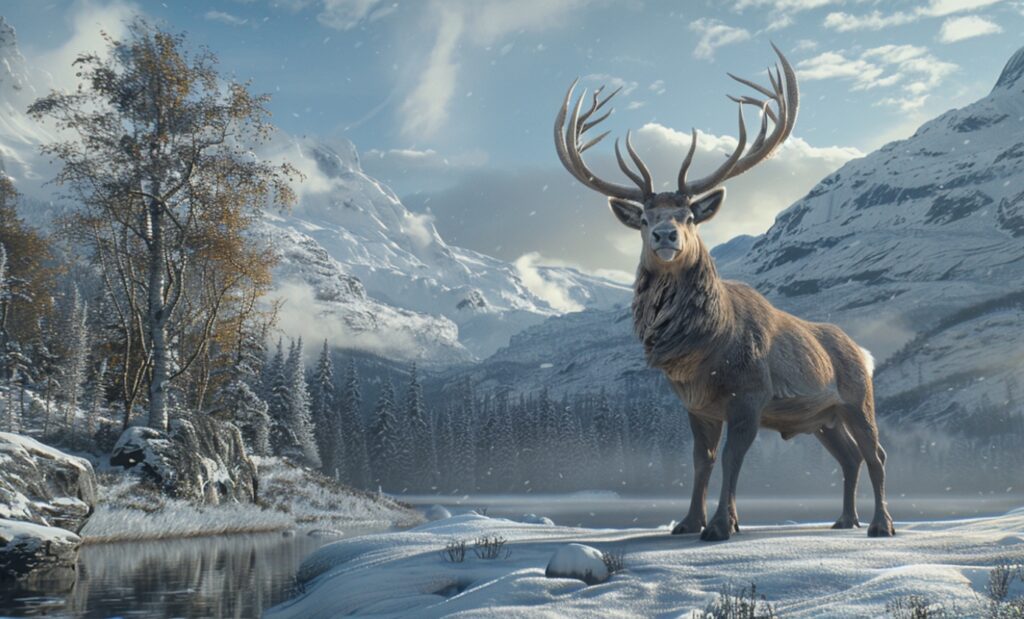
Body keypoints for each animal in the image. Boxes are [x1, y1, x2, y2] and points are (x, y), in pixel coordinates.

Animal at [554, 44, 894, 541]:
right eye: (643, 218)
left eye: (690, 216)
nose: (665, 235)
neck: (705, 349)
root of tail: (865, 352)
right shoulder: (695, 405)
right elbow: (702, 460)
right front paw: (688, 522)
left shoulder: (750, 394)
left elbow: (733, 459)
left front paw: (720, 524)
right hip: (821, 419)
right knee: (849, 457)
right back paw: (844, 518)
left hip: (857, 397)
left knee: (876, 454)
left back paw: (881, 524)